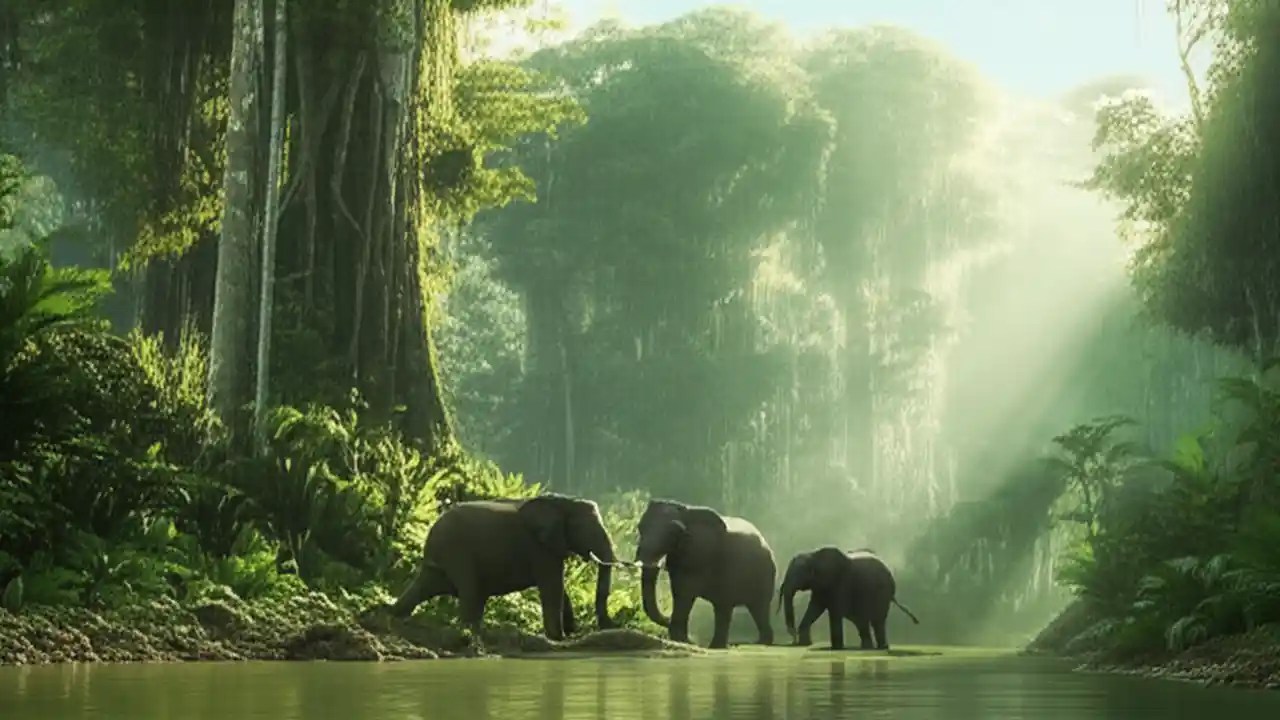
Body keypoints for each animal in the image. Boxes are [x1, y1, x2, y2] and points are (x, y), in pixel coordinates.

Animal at [388, 493, 621, 640]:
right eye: (585, 529)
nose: (610, 626)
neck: (563, 501)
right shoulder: (540, 547)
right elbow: (552, 586)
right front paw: (559, 638)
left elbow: (559, 588)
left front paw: (570, 633)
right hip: (457, 552)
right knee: (470, 590)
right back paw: (470, 634)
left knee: (426, 585)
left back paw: (394, 616)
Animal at [635, 499, 777, 649]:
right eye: (640, 528)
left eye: (672, 534)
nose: (667, 619)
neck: (686, 511)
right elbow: (679, 591)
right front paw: (683, 640)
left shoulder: (700, 553)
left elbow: (685, 592)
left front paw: (683, 640)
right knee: (728, 607)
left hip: (765, 573)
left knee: (755, 607)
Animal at [779, 546, 919, 650]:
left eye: (796, 574)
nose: (793, 640)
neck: (813, 556)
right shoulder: (821, 585)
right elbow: (814, 608)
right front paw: (805, 644)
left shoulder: (841, 582)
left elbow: (835, 612)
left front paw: (836, 648)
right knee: (862, 620)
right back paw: (867, 647)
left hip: (883, 593)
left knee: (877, 620)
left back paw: (881, 647)